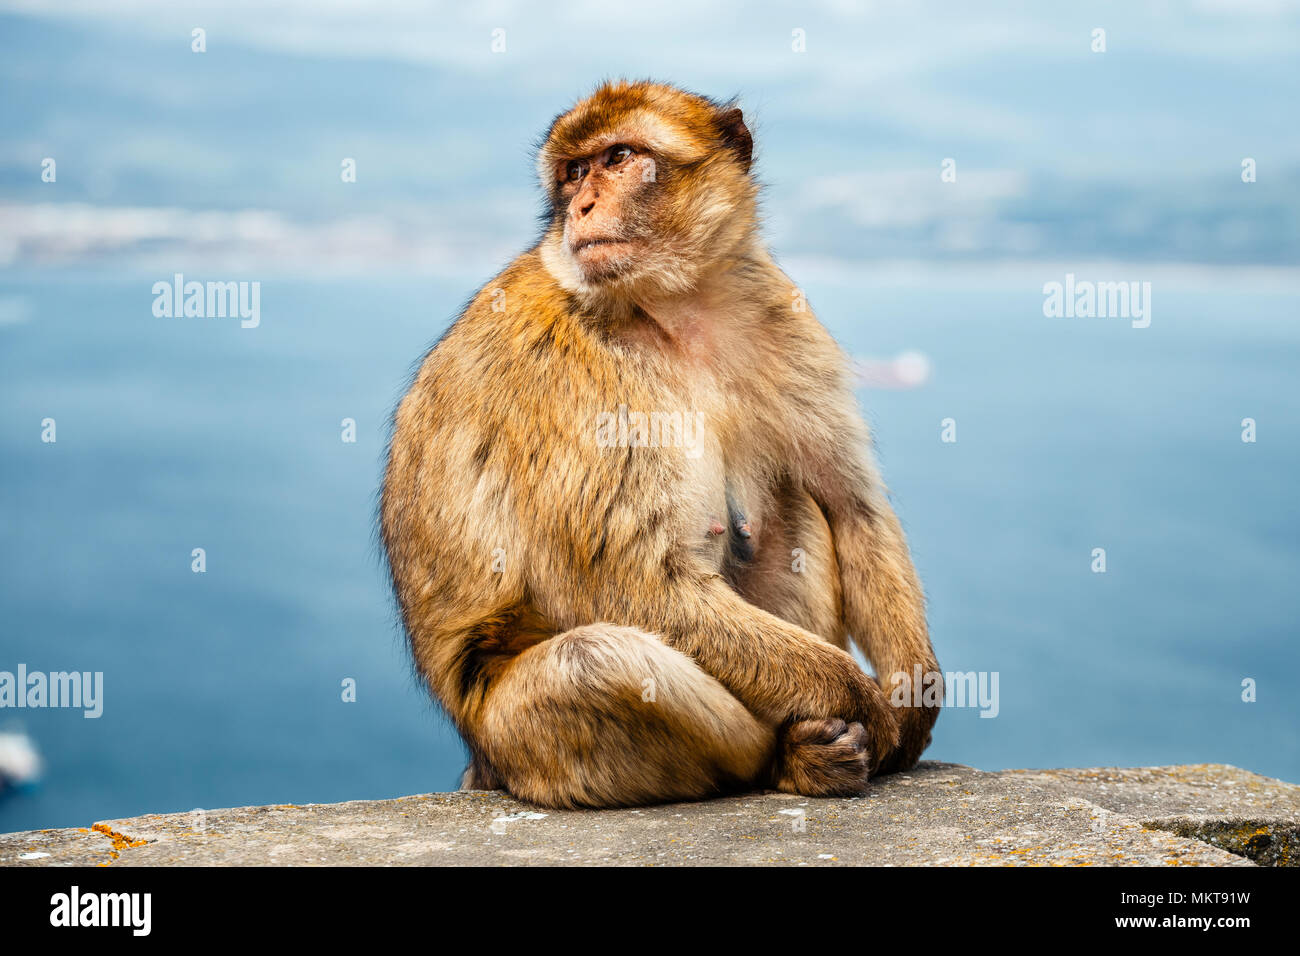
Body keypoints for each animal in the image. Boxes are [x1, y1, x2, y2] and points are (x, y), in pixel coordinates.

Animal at [381, 80, 940, 809]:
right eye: (573, 173)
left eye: (617, 158)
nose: (581, 206)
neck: (672, 310)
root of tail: (482, 761)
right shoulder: (566, 374)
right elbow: (637, 589)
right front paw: (866, 704)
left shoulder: (783, 317)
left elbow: (852, 506)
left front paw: (913, 699)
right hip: (517, 746)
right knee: (589, 663)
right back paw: (790, 758)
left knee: (796, 507)